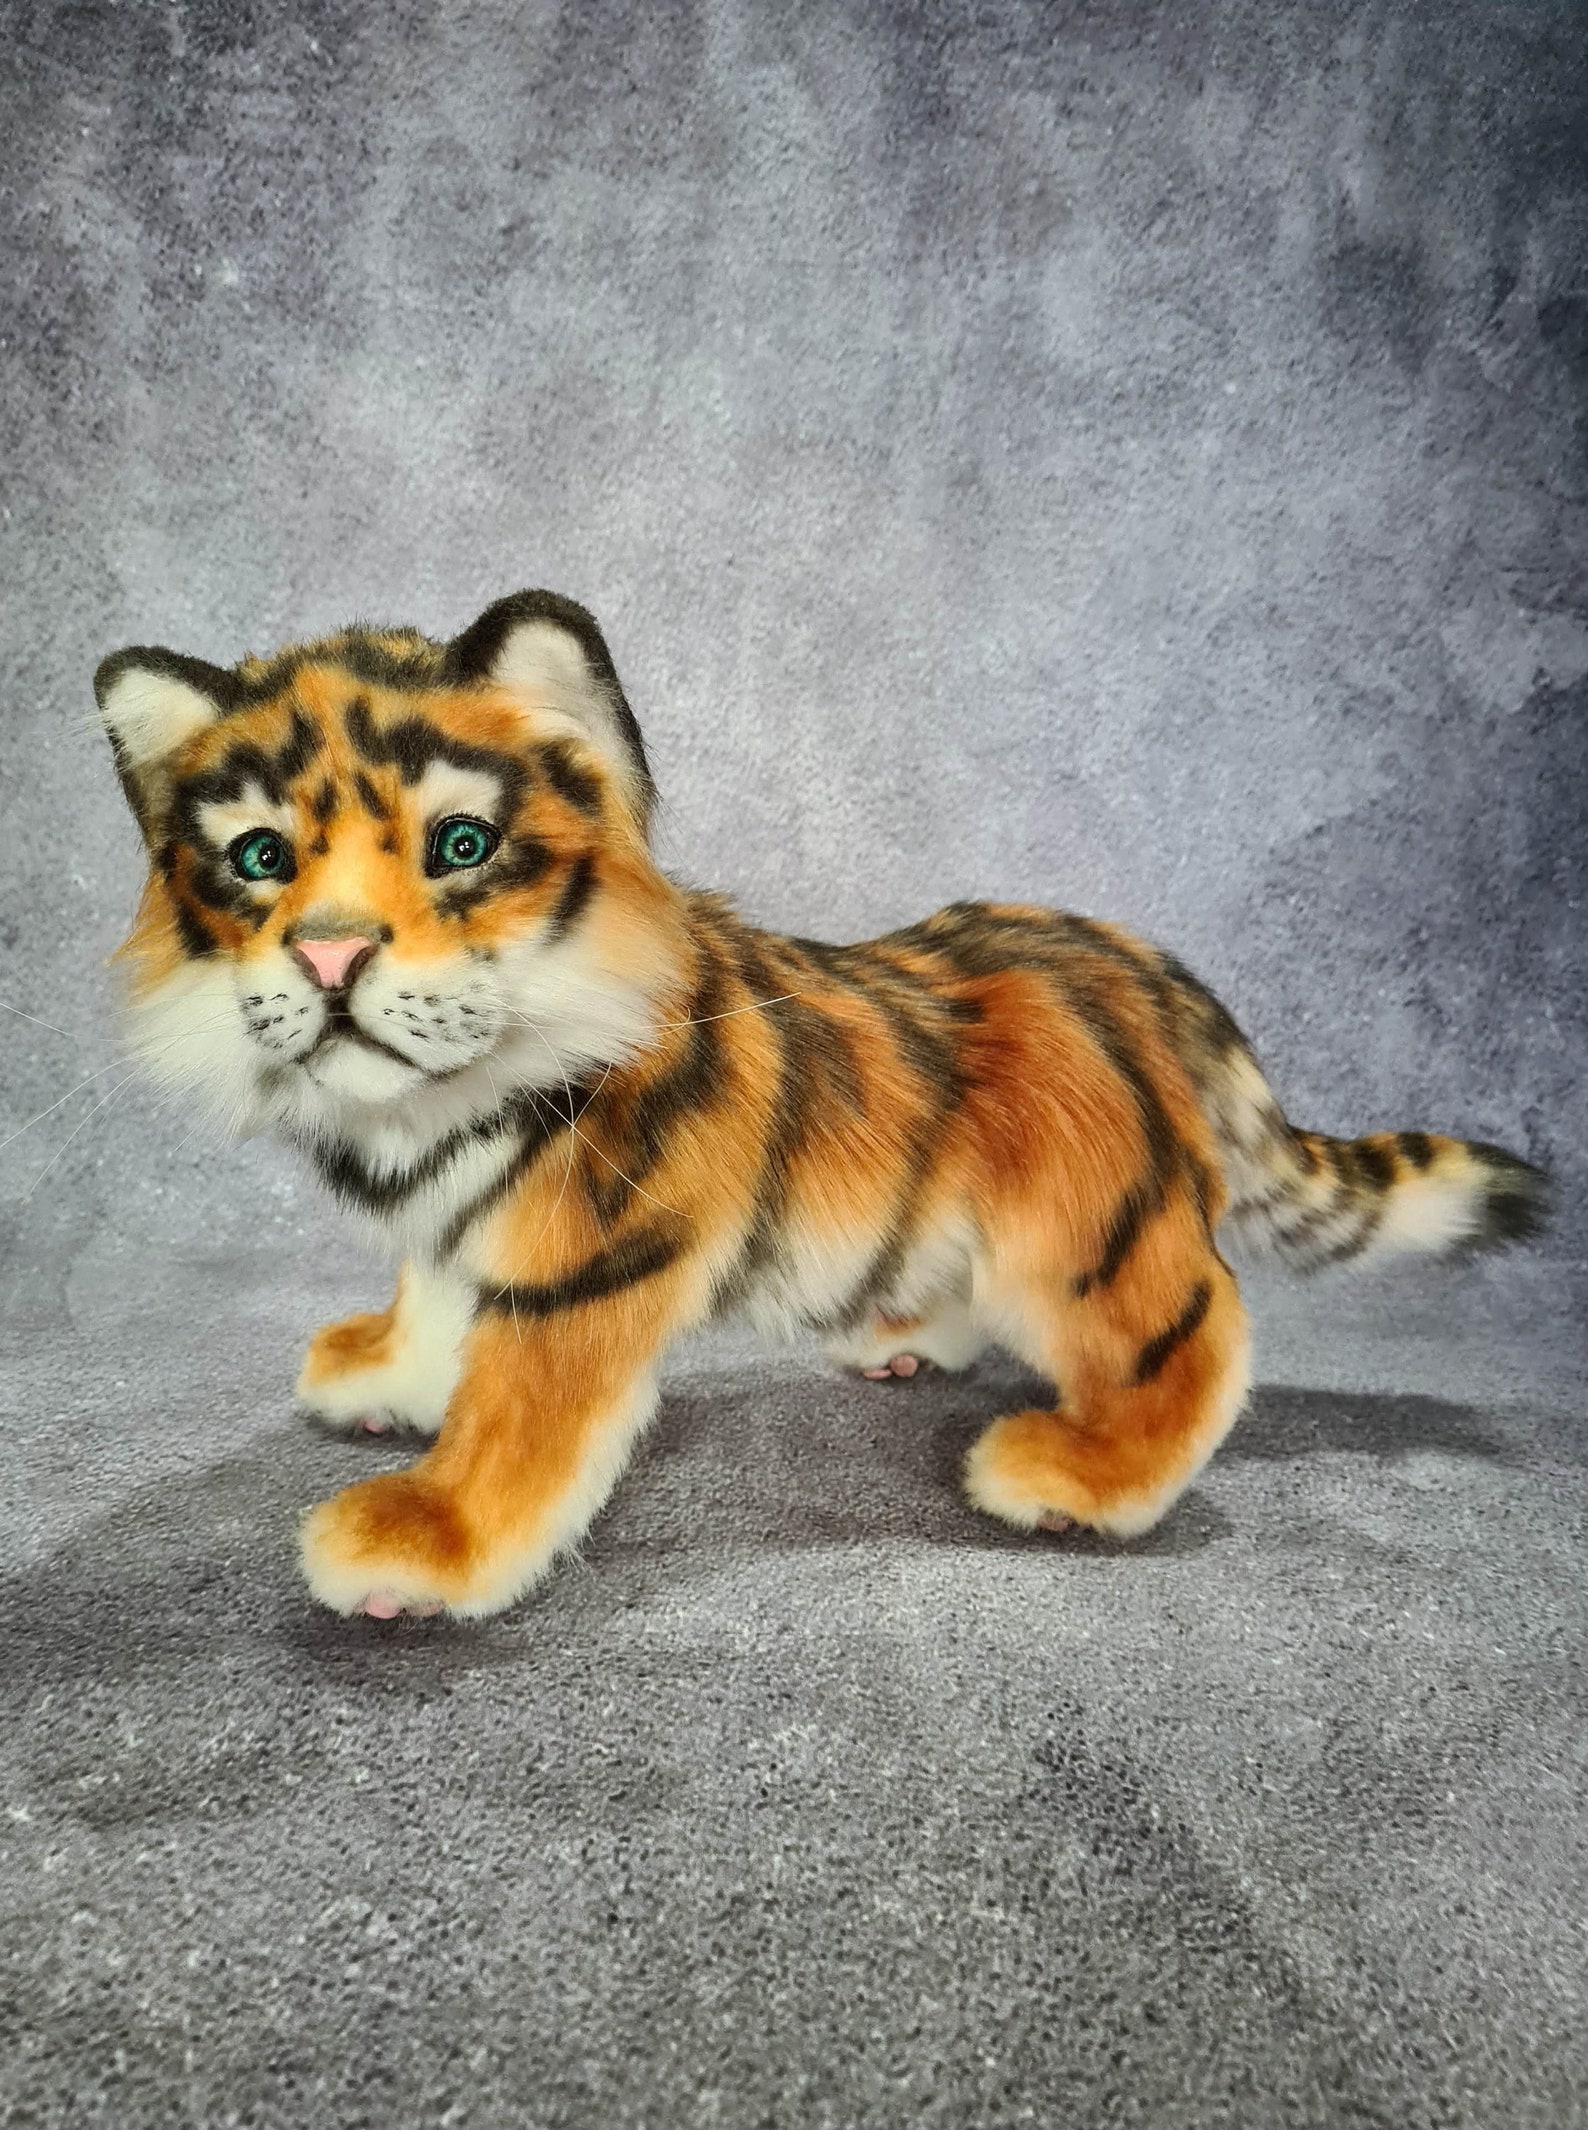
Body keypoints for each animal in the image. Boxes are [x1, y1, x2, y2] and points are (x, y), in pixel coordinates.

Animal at [93, 589, 1549, 1621]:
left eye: (461, 844)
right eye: (259, 857)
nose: (329, 956)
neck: (447, 1100)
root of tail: (1131, 957)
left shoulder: (586, 1264)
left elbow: (518, 1410)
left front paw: (425, 1540)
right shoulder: (460, 1232)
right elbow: (436, 1305)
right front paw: (385, 1375)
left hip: (1088, 1233)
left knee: (1201, 1331)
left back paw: (1078, 1478)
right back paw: (901, 1338)